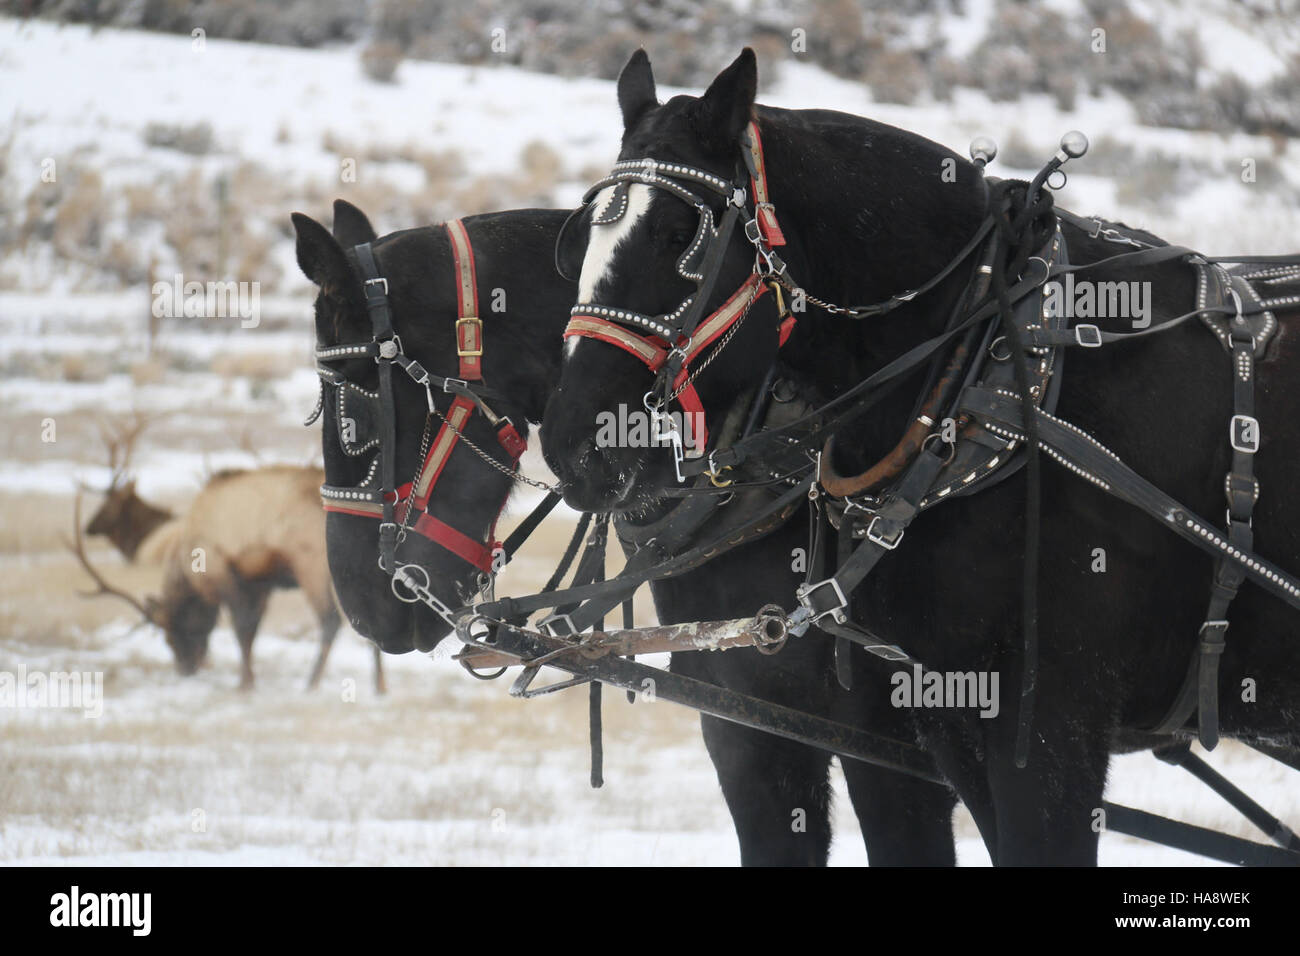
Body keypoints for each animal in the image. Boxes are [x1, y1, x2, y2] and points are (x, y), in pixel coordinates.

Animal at [538, 48, 1300, 865]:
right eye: (580, 245)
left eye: (683, 237)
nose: (574, 444)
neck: (990, 372)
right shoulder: (911, 725)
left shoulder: (1040, 732)